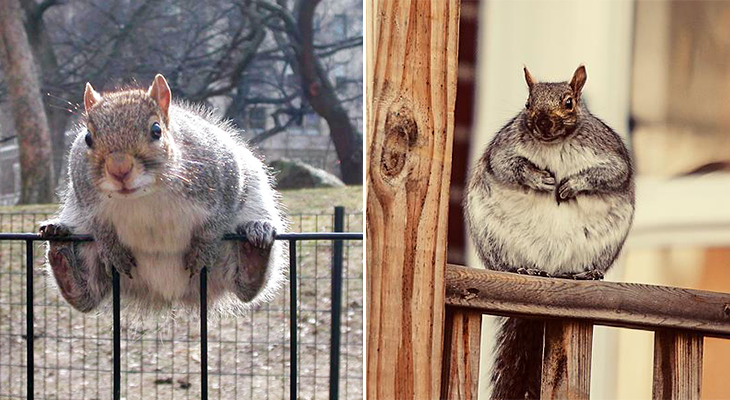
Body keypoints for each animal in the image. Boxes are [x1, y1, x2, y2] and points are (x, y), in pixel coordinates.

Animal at [39, 74, 287, 315]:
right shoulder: (85, 197)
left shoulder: (224, 176)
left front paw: (203, 248)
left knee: (245, 288)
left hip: (251, 209)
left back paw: (254, 248)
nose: (119, 169)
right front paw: (111, 250)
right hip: (86, 245)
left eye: (156, 131)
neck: (146, 194)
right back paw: (59, 249)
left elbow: (219, 216)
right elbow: (99, 227)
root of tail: (170, 293)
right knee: (87, 296)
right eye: (88, 138)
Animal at [464, 65, 635, 399]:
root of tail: (551, 268)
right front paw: (540, 179)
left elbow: (610, 173)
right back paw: (523, 268)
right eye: (528, 103)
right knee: (508, 263)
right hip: (492, 237)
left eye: (569, 102)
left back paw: (585, 273)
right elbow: (507, 165)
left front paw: (571, 185)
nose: (543, 122)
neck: (555, 144)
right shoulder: (504, 149)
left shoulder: (610, 152)